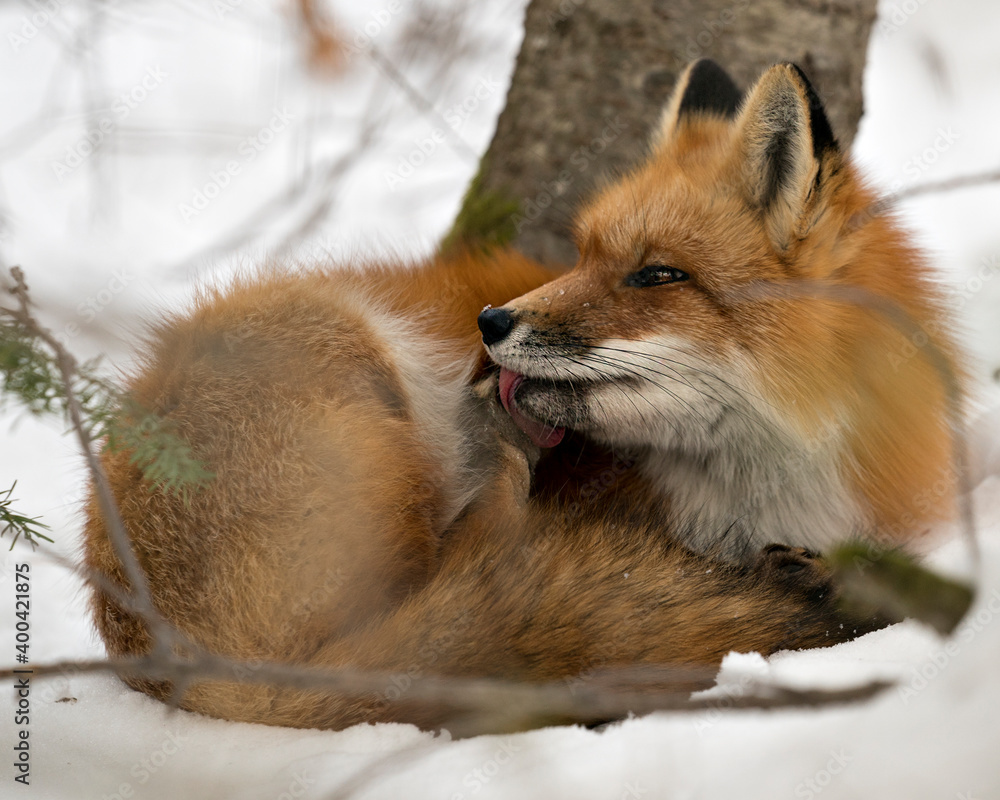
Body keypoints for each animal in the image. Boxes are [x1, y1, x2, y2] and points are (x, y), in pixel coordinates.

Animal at [81, 60, 952, 733]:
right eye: (582, 254)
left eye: (656, 274)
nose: (490, 322)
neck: (764, 490)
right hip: (354, 354)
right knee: (442, 608)